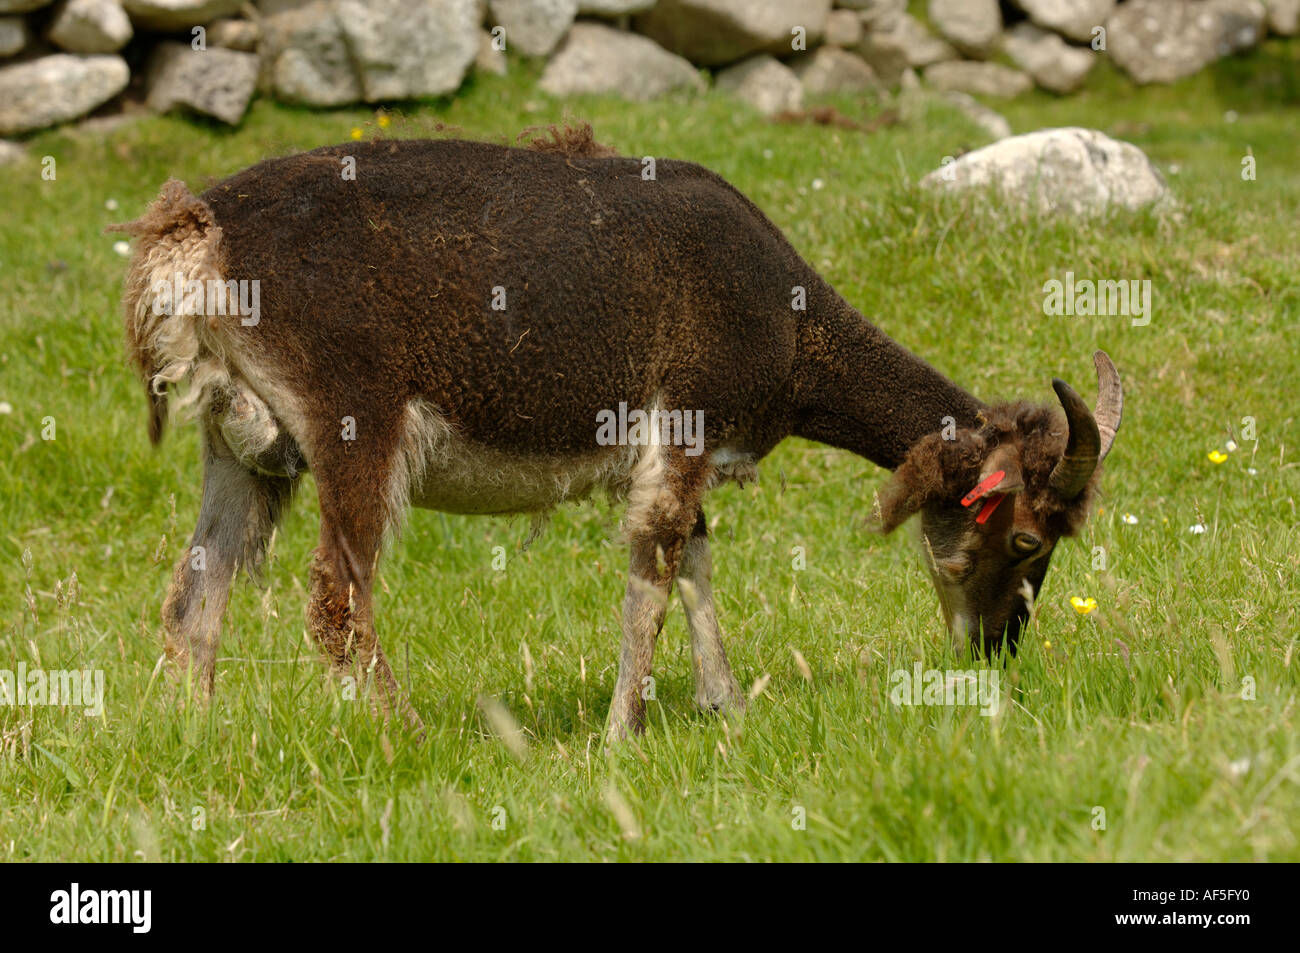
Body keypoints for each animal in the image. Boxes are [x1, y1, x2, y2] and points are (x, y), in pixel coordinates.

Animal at [113, 126, 1122, 740]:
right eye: (1026, 538)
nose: (995, 650)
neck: (788, 322)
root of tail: (189, 238)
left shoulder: (691, 443)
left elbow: (697, 560)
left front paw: (723, 706)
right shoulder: (685, 416)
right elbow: (657, 562)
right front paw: (620, 732)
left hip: (239, 446)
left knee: (193, 597)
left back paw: (199, 737)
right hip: (352, 415)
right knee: (335, 595)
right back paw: (409, 733)